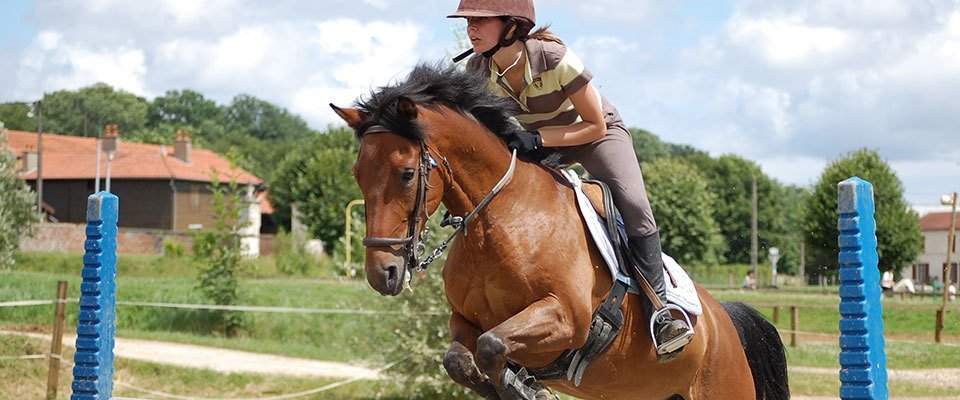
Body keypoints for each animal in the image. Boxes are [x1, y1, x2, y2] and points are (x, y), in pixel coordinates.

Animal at [332, 63, 789, 400]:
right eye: (357, 174)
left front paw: (523, 387)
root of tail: (723, 321)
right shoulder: (465, 319)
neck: (499, 220)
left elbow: (493, 346)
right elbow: (460, 359)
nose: (382, 273)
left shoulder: (567, 317)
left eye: (407, 174)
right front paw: (504, 384)